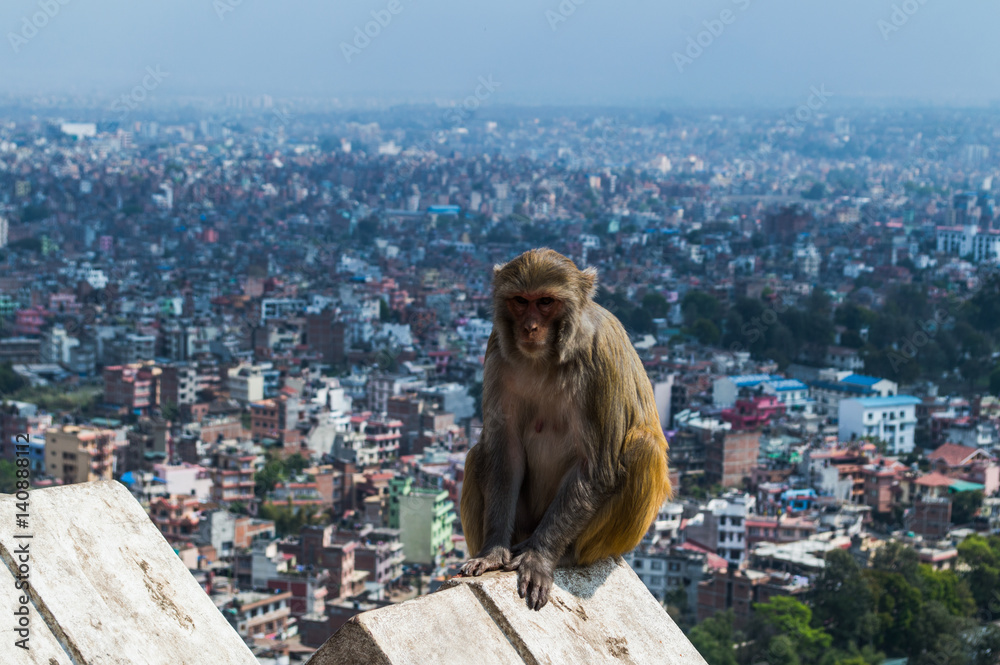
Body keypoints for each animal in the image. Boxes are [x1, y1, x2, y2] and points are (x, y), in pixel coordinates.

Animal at [460, 248, 671, 611]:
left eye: (546, 302)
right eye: (520, 301)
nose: (530, 327)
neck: (547, 356)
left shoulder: (600, 358)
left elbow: (596, 468)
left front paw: (540, 557)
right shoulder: (497, 351)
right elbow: (504, 453)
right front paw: (492, 552)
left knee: (642, 448)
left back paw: (568, 554)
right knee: (479, 453)